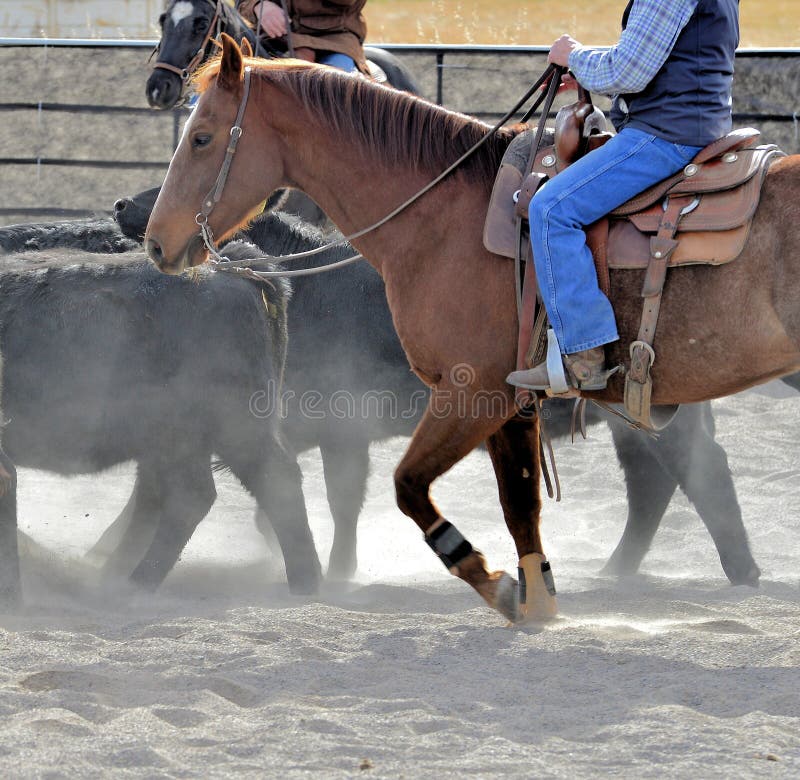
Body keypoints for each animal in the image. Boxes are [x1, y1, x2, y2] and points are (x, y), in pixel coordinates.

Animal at [145, 38, 800, 622]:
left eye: (201, 137)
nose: (155, 242)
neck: (442, 218)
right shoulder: (509, 402)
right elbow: (519, 505)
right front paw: (536, 601)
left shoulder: (470, 391)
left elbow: (408, 485)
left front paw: (493, 581)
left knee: (693, 475)